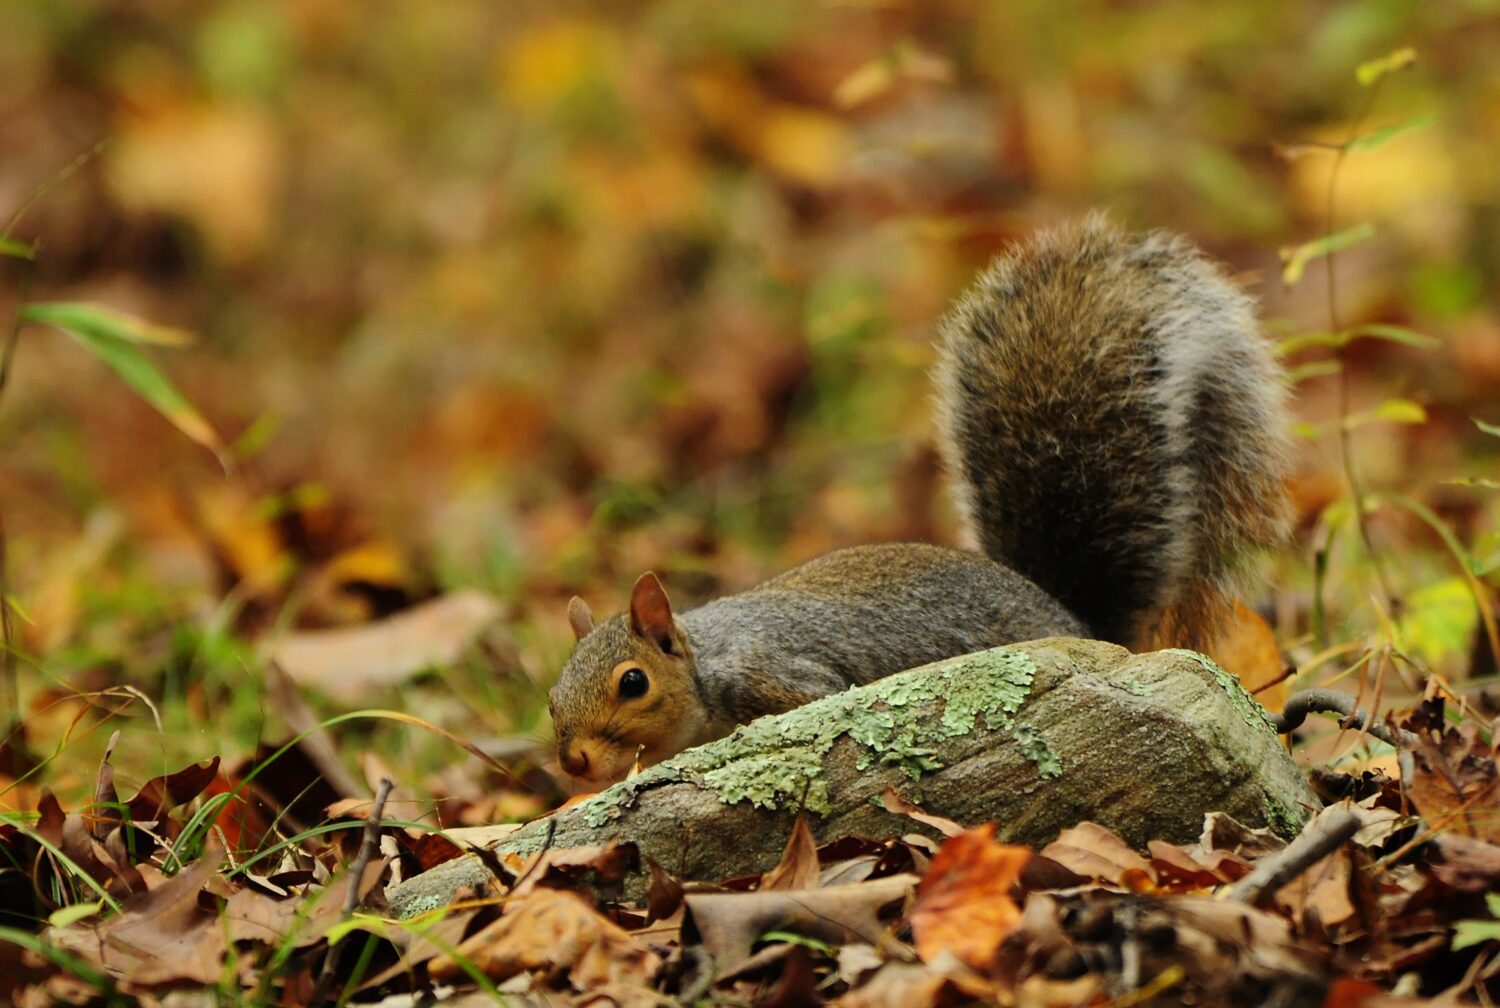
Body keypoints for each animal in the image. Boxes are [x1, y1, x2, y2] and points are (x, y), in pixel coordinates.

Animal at [548, 215, 1291, 785]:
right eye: (553, 697)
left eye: (633, 682)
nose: (575, 762)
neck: (707, 667)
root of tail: (1080, 624)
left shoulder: (785, 678)